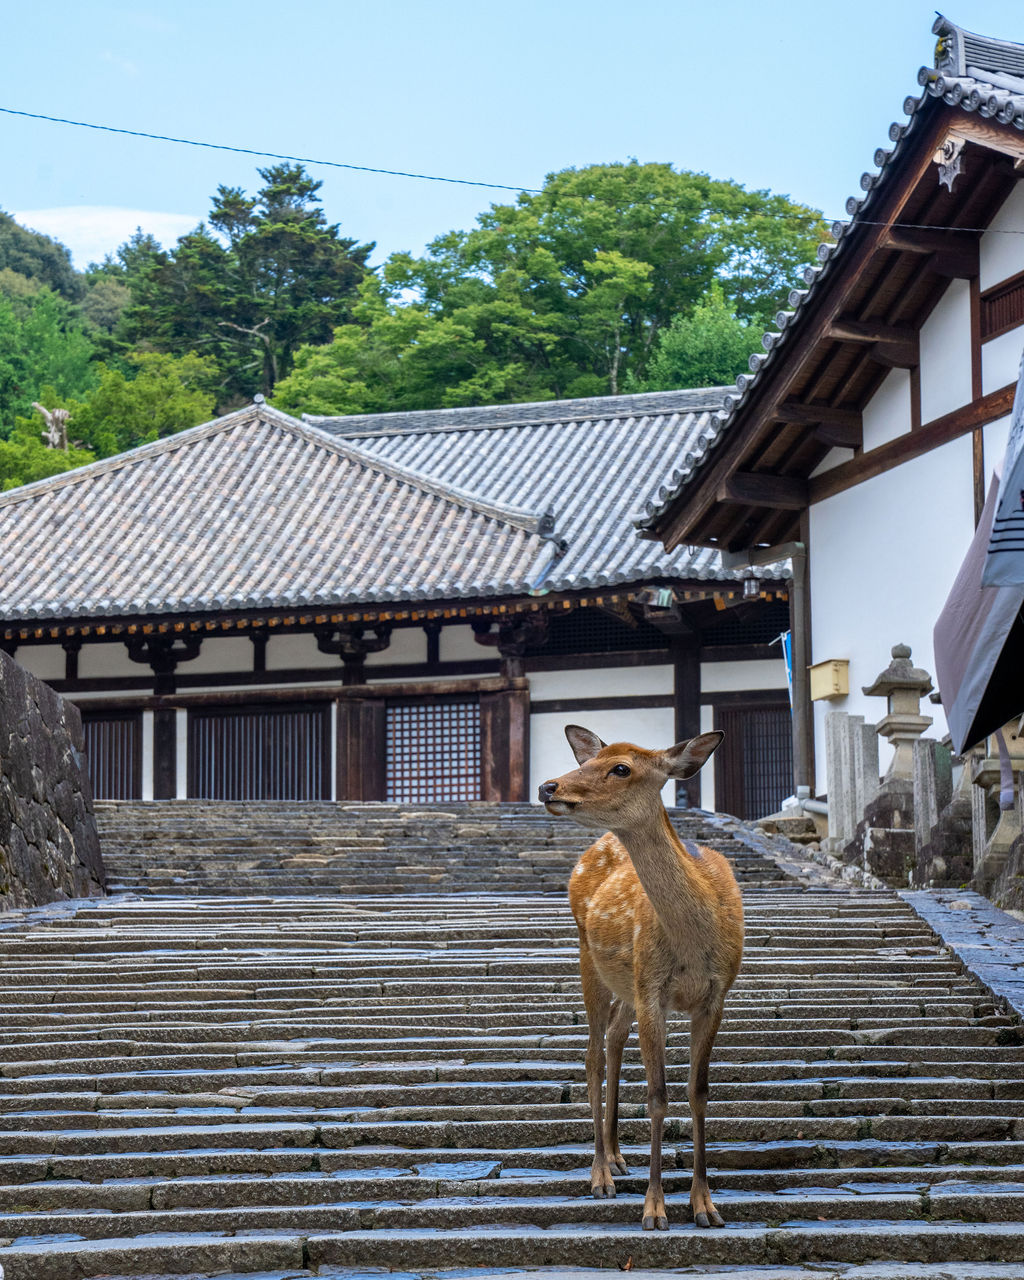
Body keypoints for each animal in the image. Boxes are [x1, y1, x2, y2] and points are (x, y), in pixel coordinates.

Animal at [538, 725, 743, 1232]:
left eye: (621, 768)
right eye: (591, 761)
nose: (549, 786)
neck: (693, 942)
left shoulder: (715, 995)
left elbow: (698, 1093)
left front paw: (705, 1205)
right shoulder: (652, 990)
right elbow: (657, 1096)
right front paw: (655, 1209)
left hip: (625, 983)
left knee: (613, 1038)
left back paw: (615, 1156)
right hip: (589, 958)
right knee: (592, 1055)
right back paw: (600, 1174)